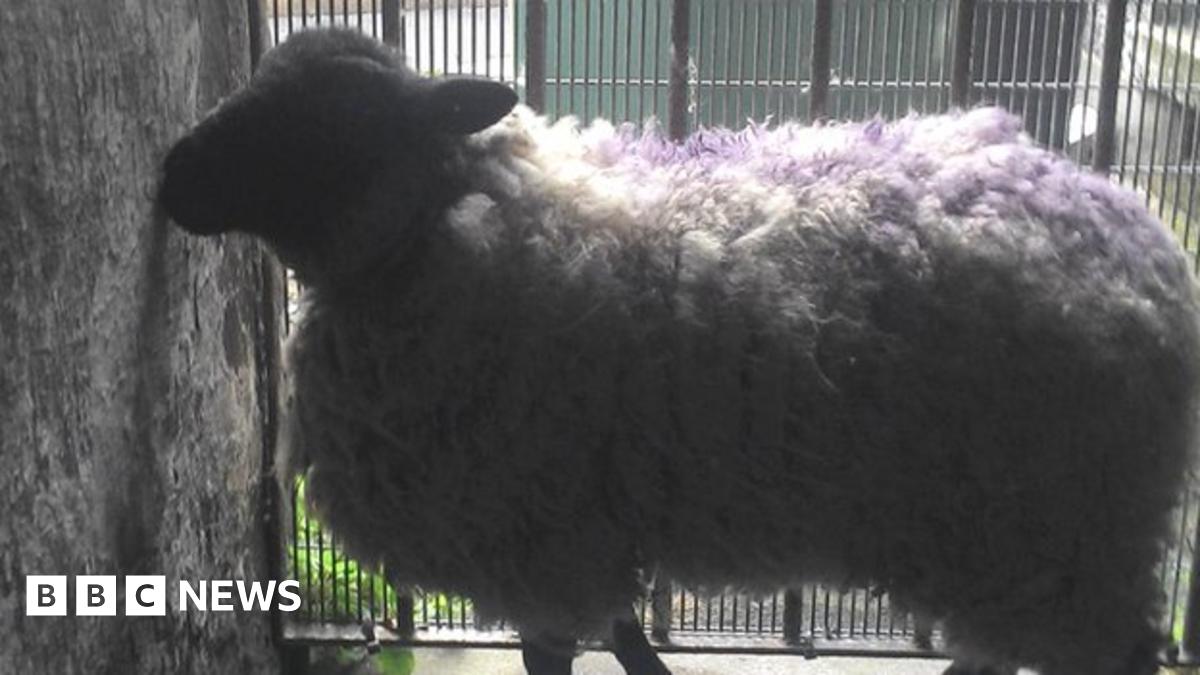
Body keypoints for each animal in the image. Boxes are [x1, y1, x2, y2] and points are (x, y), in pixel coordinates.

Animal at [157, 27, 1200, 675]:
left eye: (336, 118)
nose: (171, 177)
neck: (452, 226)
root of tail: (1142, 242)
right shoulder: (584, 528)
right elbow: (628, 641)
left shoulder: (541, 539)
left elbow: (557, 651)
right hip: (1020, 536)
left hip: (1059, 528)